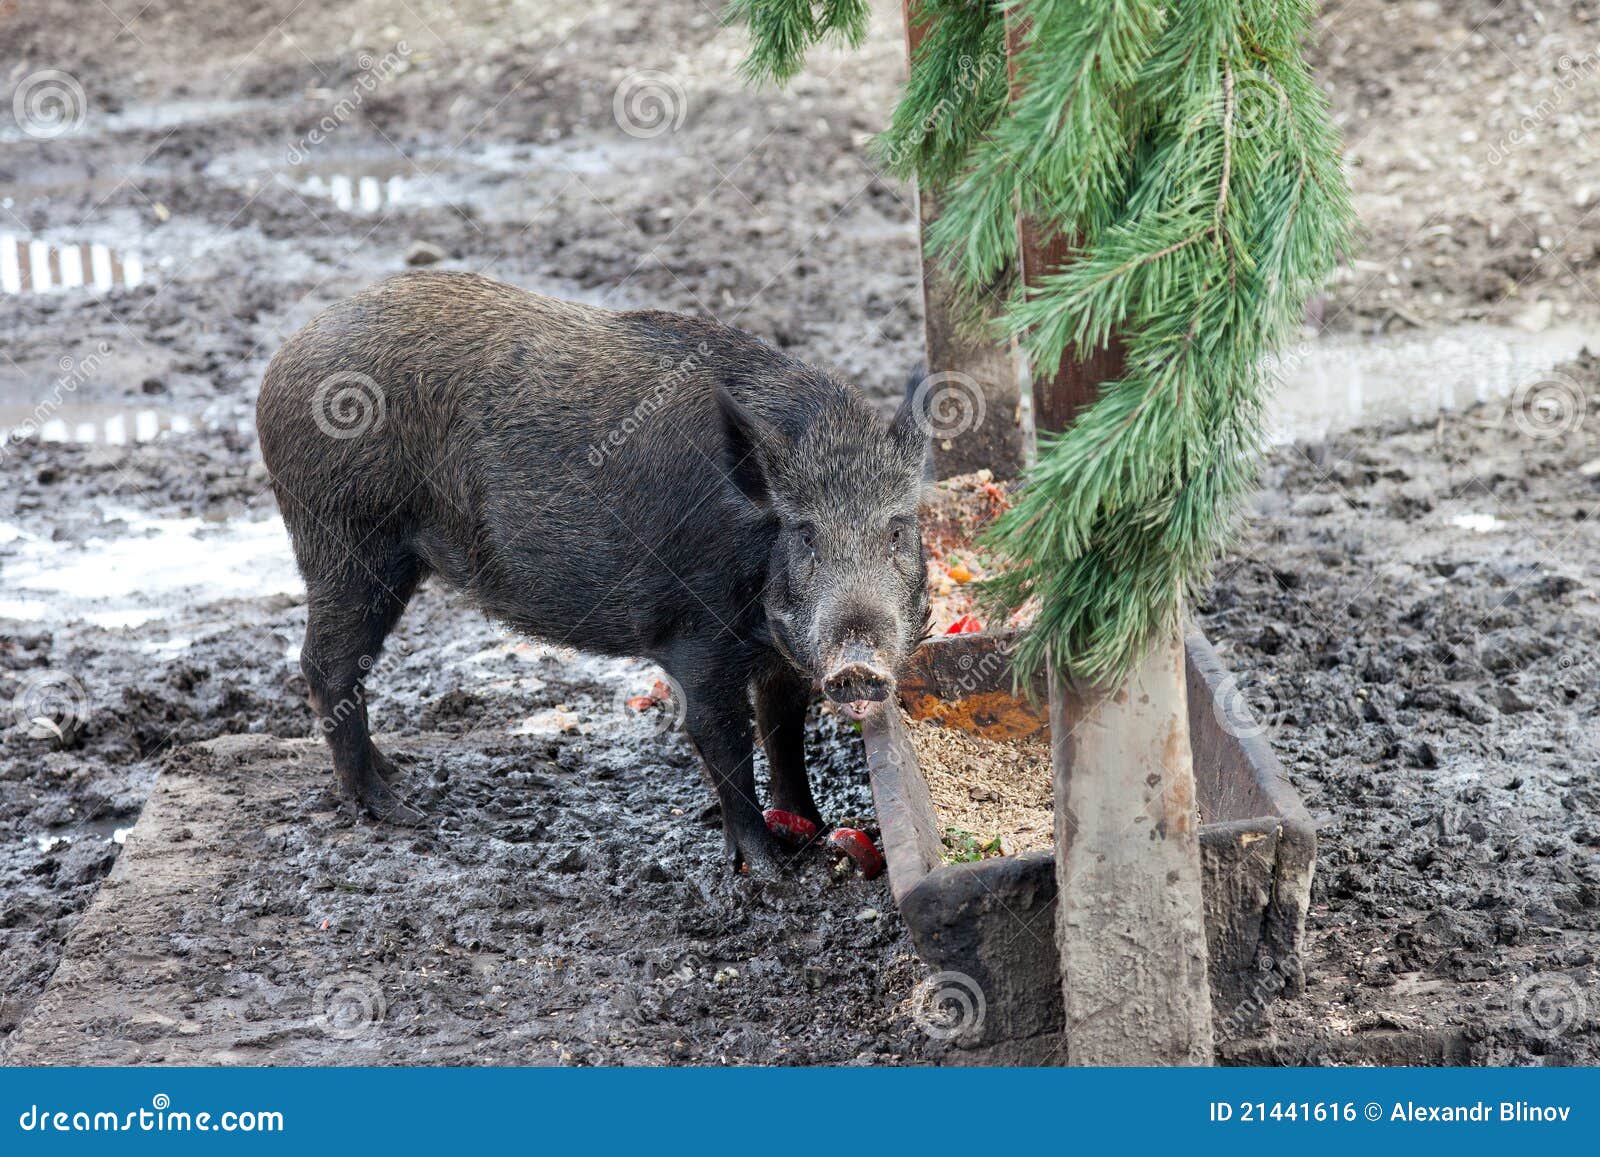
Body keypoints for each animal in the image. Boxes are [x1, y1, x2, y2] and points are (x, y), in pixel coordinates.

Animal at [256, 271, 930, 875]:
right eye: (804, 534)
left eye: (898, 529)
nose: (859, 664)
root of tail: (285, 357)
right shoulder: (695, 638)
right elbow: (725, 743)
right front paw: (771, 876)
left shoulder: (781, 649)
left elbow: (783, 731)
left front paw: (812, 834)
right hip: (344, 540)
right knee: (325, 664)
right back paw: (397, 808)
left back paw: (396, 772)